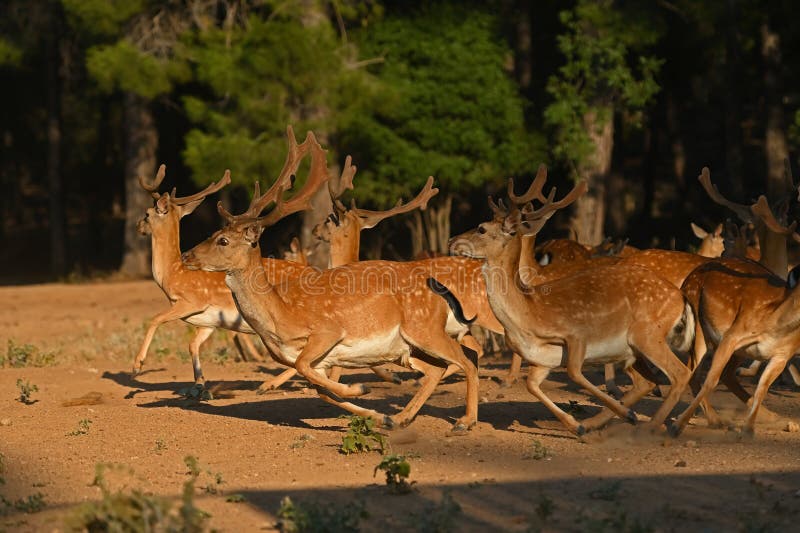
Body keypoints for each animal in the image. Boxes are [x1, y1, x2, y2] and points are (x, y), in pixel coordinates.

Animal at [132, 126, 323, 386]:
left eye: (147, 213)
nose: (137, 226)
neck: (172, 275)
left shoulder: (193, 301)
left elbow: (155, 318)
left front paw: (137, 365)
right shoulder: (209, 321)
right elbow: (192, 345)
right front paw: (200, 385)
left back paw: (272, 383)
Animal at [181, 133, 480, 434]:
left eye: (223, 241)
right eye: (213, 233)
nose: (186, 255)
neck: (278, 319)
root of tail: (439, 291)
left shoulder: (326, 331)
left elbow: (305, 367)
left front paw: (360, 389)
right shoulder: (318, 360)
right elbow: (322, 391)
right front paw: (376, 414)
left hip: (424, 329)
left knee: (467, 359)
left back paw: (464, 422)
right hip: (407, 347)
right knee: (438, 369)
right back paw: (400, 418)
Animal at [441, 173, 693, 436]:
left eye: (481, 228)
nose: (451, 240)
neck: (528, 315)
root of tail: (680, 297)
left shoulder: (576, 334)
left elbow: (574, 373)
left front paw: (626, 415)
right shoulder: (544, 358)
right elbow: (531, 385)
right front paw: (577, 426)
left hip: (647, 334)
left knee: (680, 373)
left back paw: (650, 426)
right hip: (634, 348)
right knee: (651, 381)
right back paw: (602, 423)